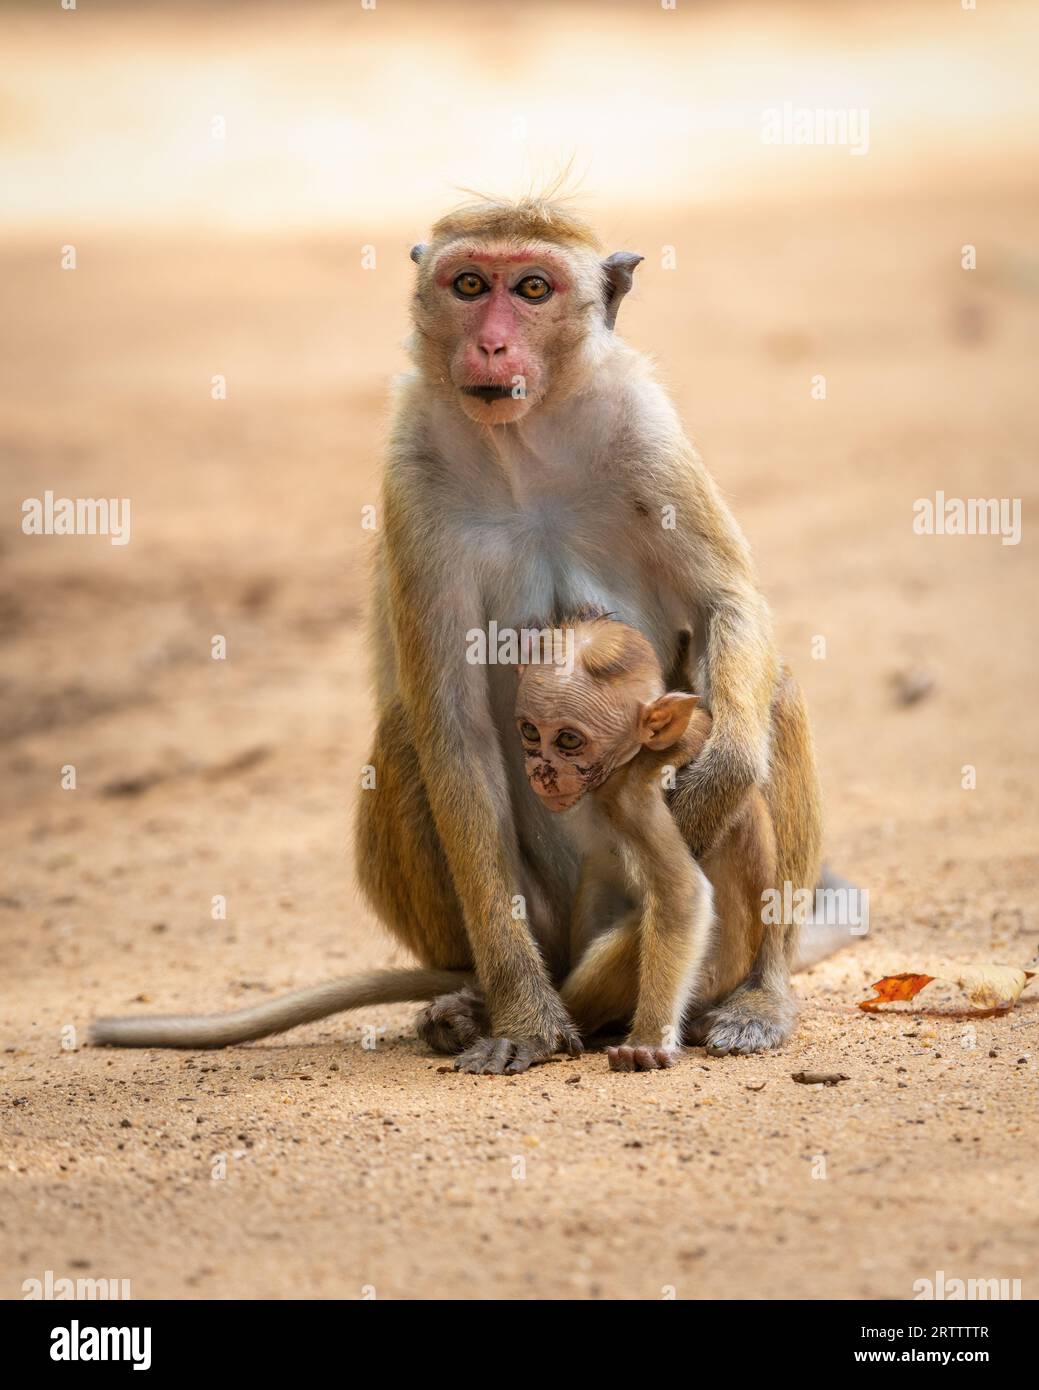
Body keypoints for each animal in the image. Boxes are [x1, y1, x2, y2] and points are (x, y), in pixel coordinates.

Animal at [514, 610, 778, 1071]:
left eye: (568, 740)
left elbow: (681, 895)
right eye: (530, 731)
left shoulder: (631, 797)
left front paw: (650, 1040)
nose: (540, 772)